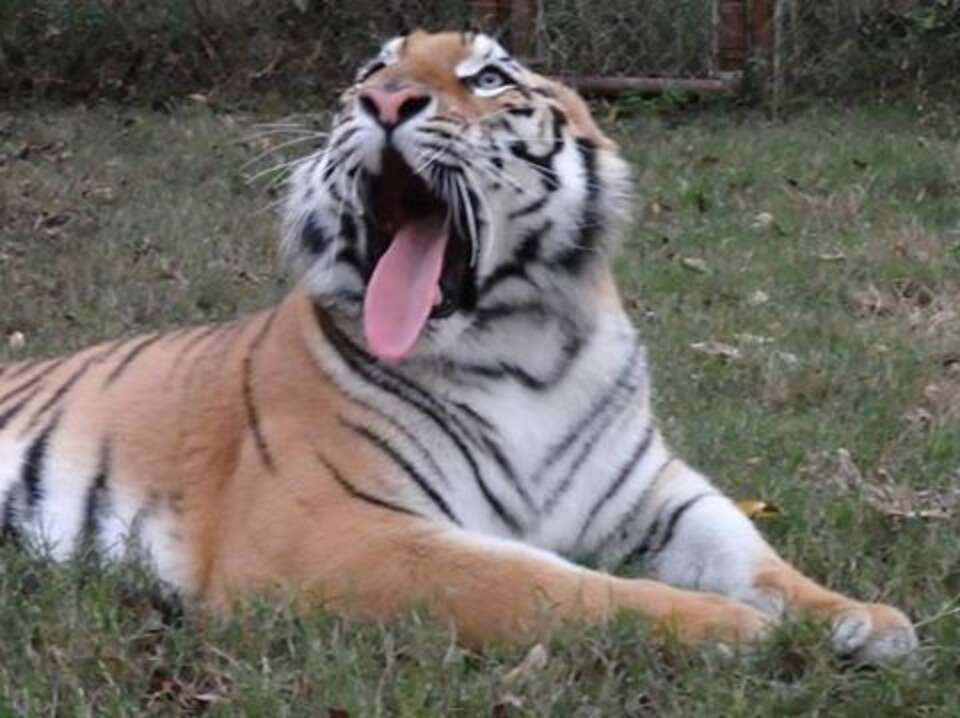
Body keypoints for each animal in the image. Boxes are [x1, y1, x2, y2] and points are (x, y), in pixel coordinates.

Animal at [0, 30, 917, 663]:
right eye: (370, 72)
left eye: (487, 77)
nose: (385, 102)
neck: (523, 352)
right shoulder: (324, 532)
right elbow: (541, 583)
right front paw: (736, 628)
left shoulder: (655, 491)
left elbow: (751, 552)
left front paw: (862, 620)